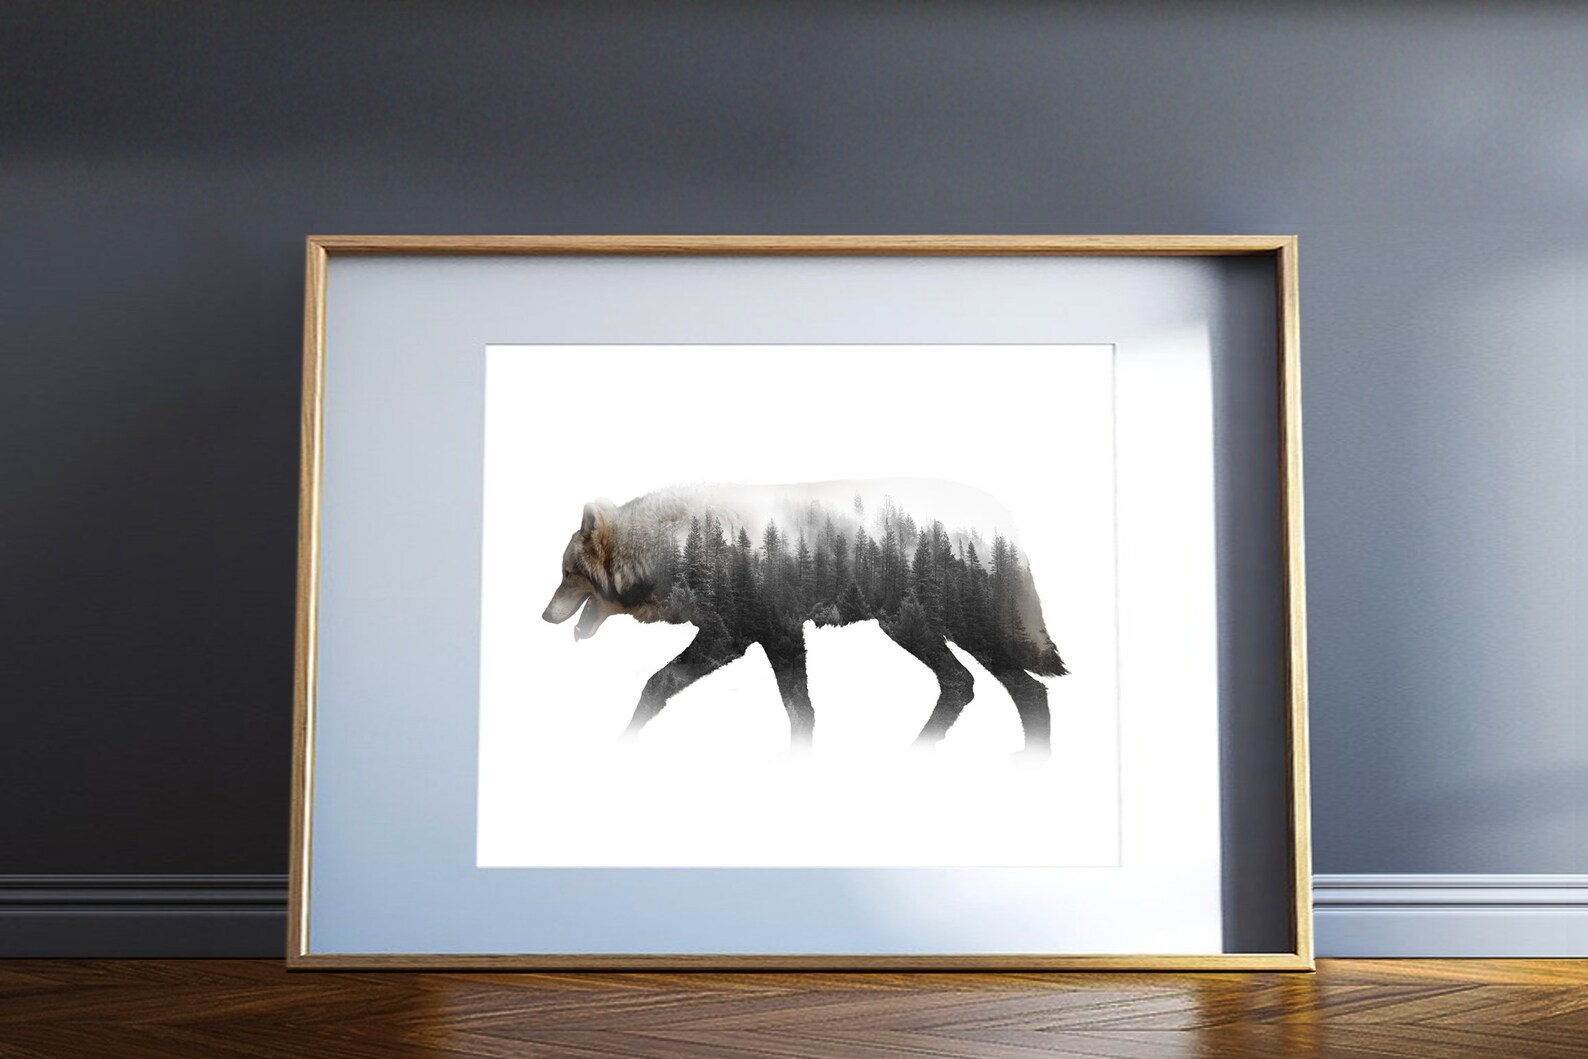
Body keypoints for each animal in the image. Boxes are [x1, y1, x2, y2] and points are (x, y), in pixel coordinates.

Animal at [542, 480, 1067, 759]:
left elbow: (661, 684)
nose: (544, 615)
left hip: (954, 631)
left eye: (568, 574)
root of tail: (1001, 520)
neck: (679, 547)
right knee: (971, 684)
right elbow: (799, 709)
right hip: (911, 628)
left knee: (1018, 687)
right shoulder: (761, 637)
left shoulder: (754, 636)